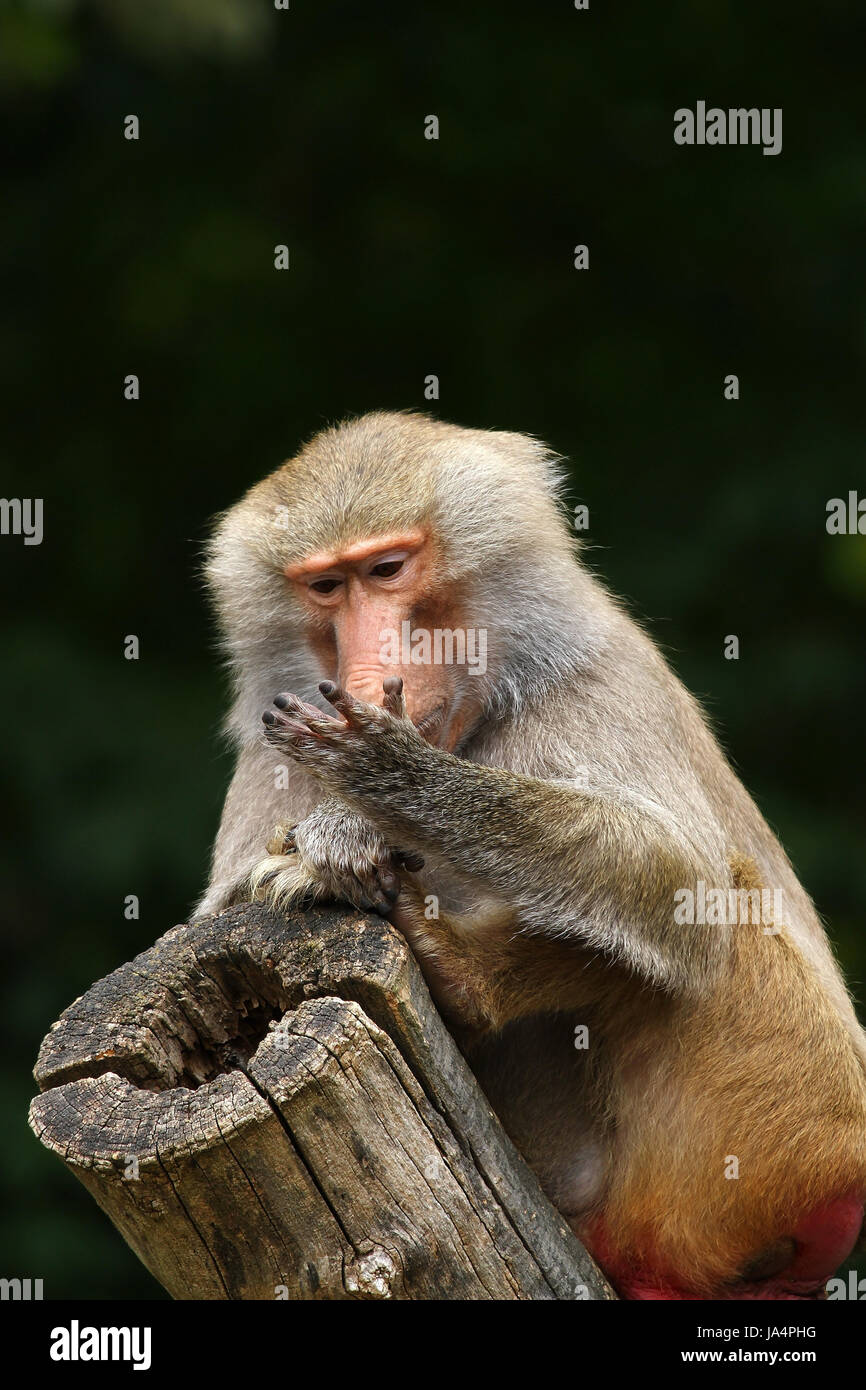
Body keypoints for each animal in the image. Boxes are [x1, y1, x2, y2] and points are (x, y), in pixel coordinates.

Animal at [198, 410, 866, 1300]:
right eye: (327, 588)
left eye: (388, 568)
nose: (368, 680)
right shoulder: (266, 750)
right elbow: (215, 924)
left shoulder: (600, 673)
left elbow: (677, 881)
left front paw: (386, 787)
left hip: (786, 1134)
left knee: (709, 911)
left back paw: (465, 979)